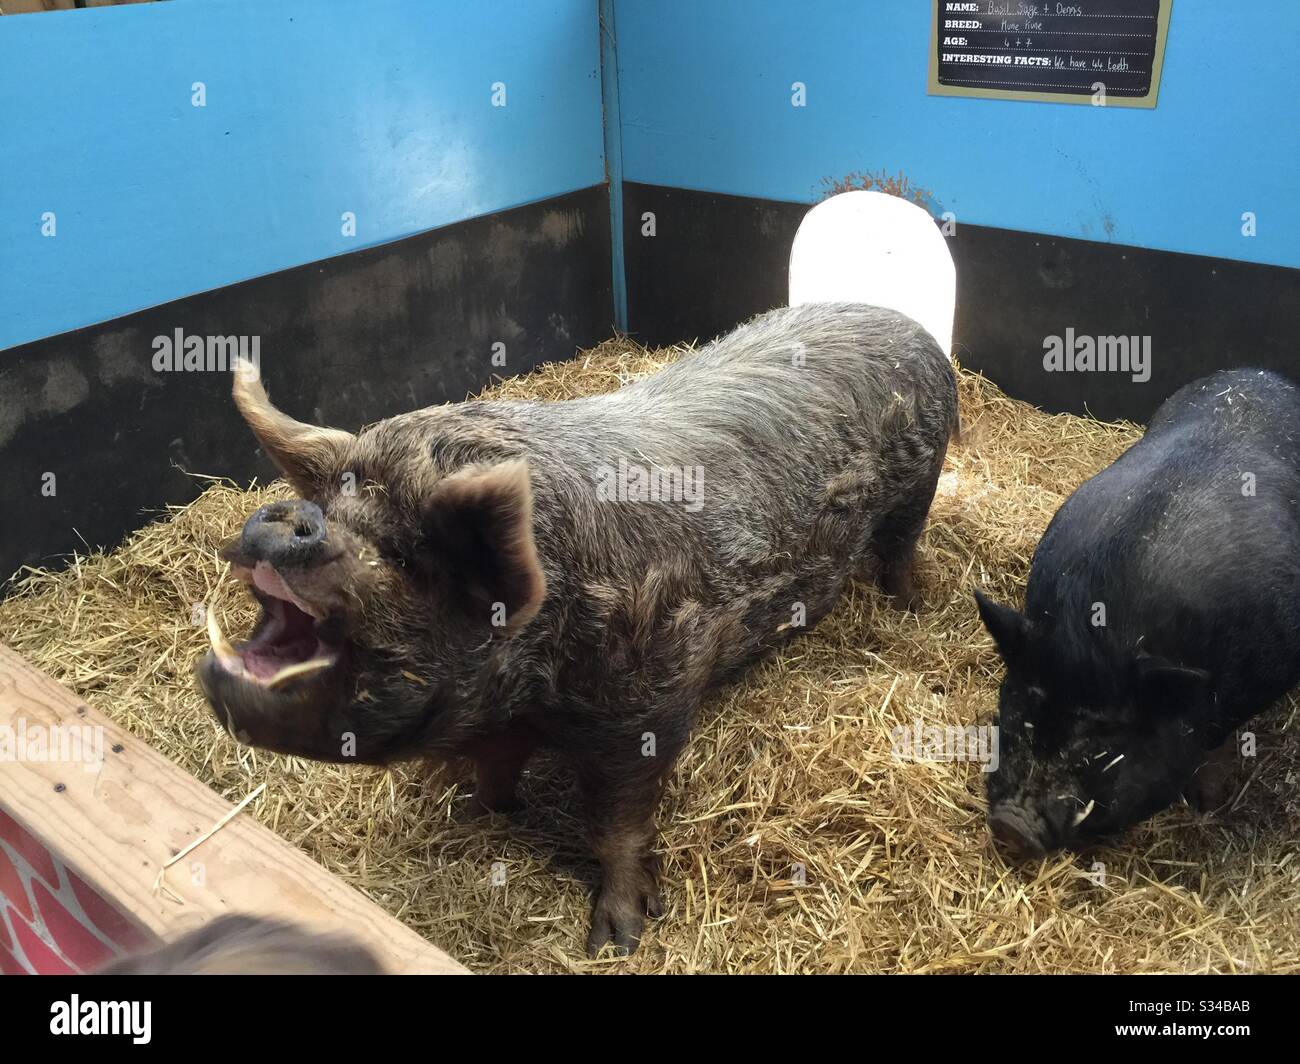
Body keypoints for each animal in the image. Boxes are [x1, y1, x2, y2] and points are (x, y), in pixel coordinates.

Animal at [197, 301, 958, 953]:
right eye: (333, 503)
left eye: (408, 555)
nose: (289, 518)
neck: (530, 689)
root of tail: (910, 325)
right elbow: (496, 771)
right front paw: (479, 812)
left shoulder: (652, 701)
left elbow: (617, 823)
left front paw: (615, 940)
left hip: (918, 488)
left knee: (901, 550)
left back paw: (911, 606)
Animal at [976, 368, 1300, 856]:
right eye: (1017, 712)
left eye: (1101, 746)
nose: (1011, 824)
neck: (1095, 634)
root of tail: (1261, 372)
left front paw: (1206, 802)